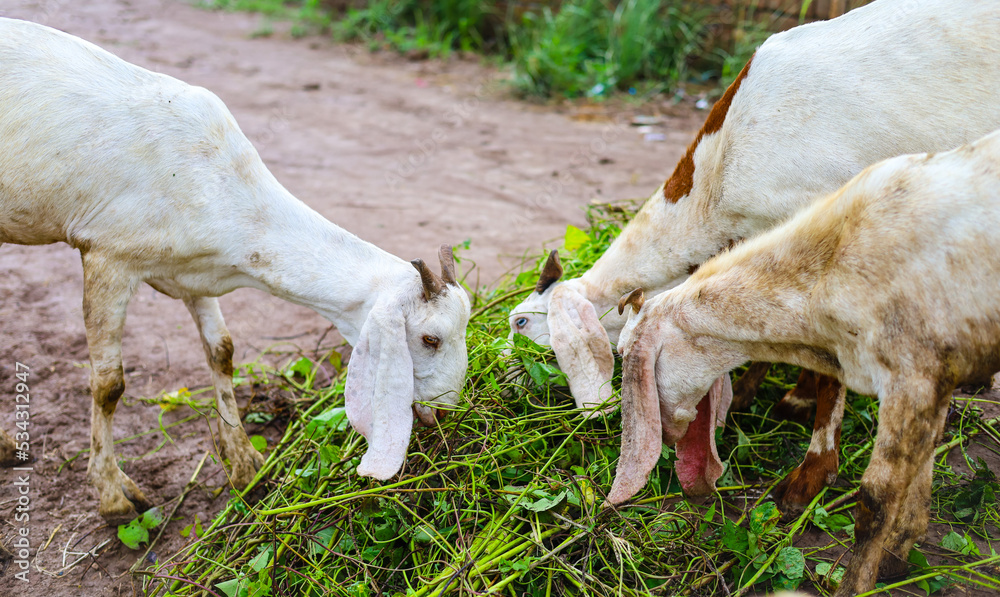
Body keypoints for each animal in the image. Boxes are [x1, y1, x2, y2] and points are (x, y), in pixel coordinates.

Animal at [0, 18, 471, 524]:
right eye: (430, 339)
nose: (447, 412)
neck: (217, 180)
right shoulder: (106, 257)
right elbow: (109, 385)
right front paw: (114, 496)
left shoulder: (194, 268)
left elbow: (221, 351)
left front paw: (247, 466)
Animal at [610, 128, 1000, 596]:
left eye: (627, 356)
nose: (667, 440)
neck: (827, 268)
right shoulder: (938, 377)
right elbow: (920, 474)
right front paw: (899, 553)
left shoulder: (914, 374)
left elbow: (875, 501)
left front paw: (857, 582)